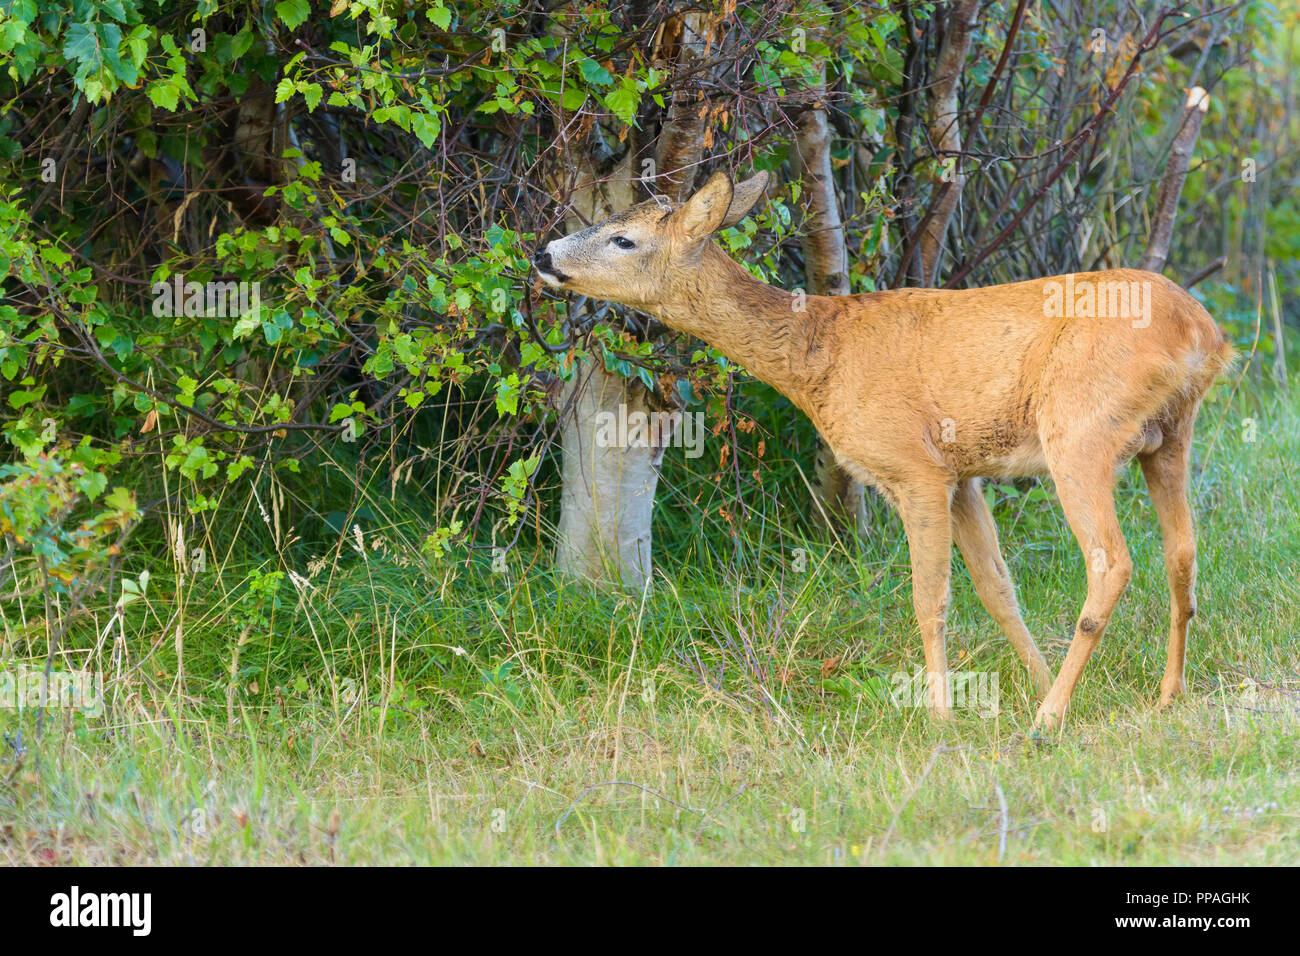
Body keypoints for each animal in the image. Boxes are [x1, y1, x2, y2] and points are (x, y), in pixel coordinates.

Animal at [533, 169, 1233, 730]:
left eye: (623, 239)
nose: (542, 253)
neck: (819, 358)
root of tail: (1202, 333)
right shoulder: (964, 475)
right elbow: (997, 588)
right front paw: (1031, 680)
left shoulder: (915, 467)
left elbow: (930, 598)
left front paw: (942, 716)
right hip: (1170, 436)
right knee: (1183, 550)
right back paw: (1163, 695)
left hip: (1079, 429)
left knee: (1112, 562)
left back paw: (1048, 720)